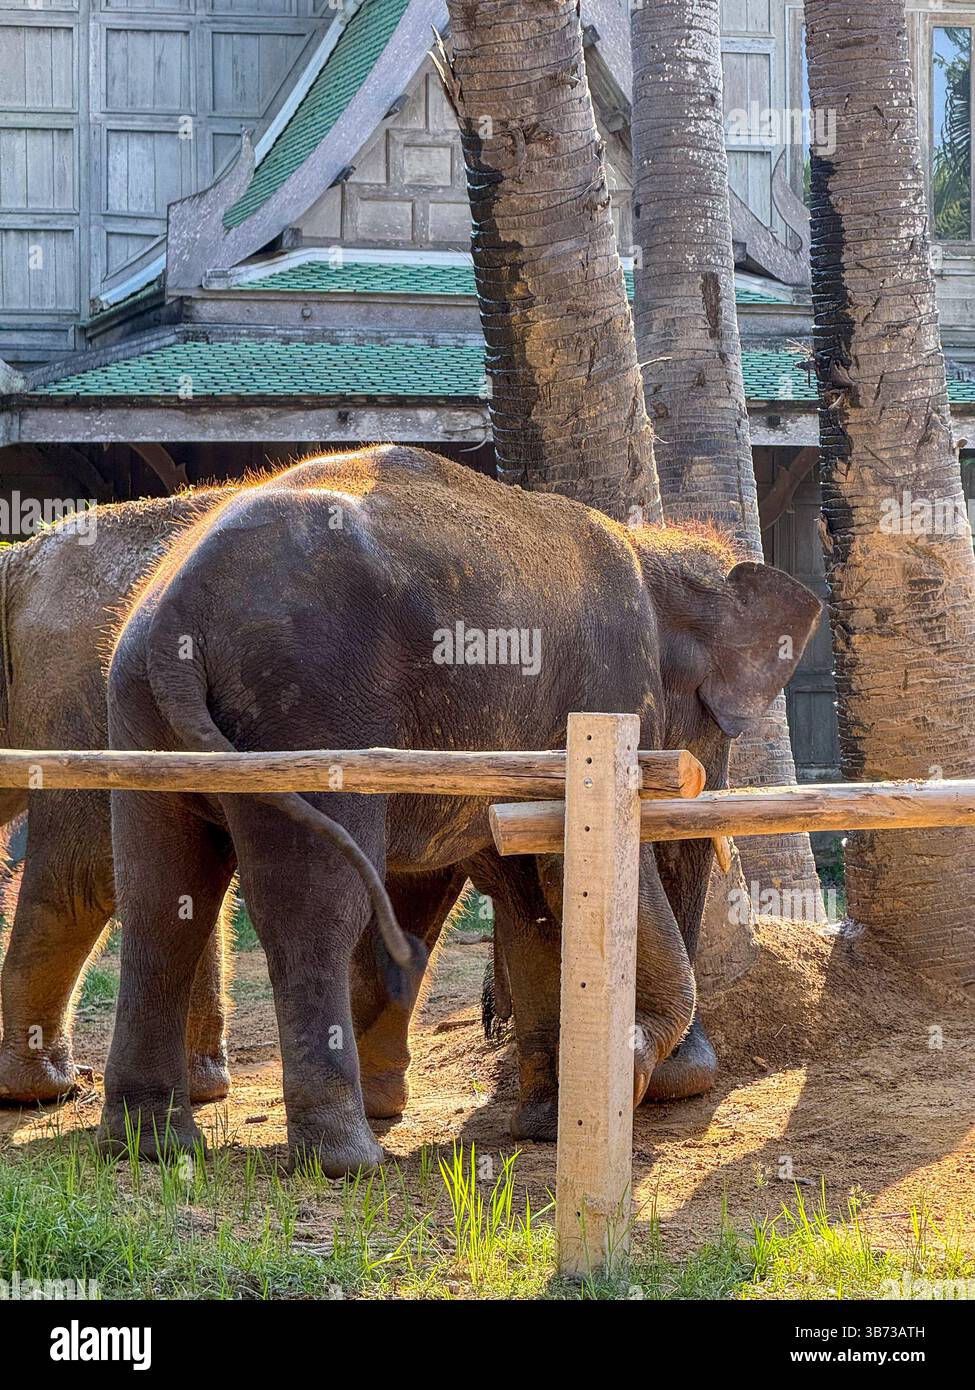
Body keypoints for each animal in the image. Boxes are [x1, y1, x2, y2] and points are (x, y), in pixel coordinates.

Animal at [100, 444, 820, 1175]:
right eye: (714, 726)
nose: (663, 1072)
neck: (656, 557)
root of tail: (180, 611)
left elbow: (531, 894)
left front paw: (549, 1124)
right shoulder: (602, 697)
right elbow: (566, 871)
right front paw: (620, 1079)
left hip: (140, 717)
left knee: (161, 901)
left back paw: (149, 1145)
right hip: (306, 711)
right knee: (313, 907)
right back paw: (346, 1160)